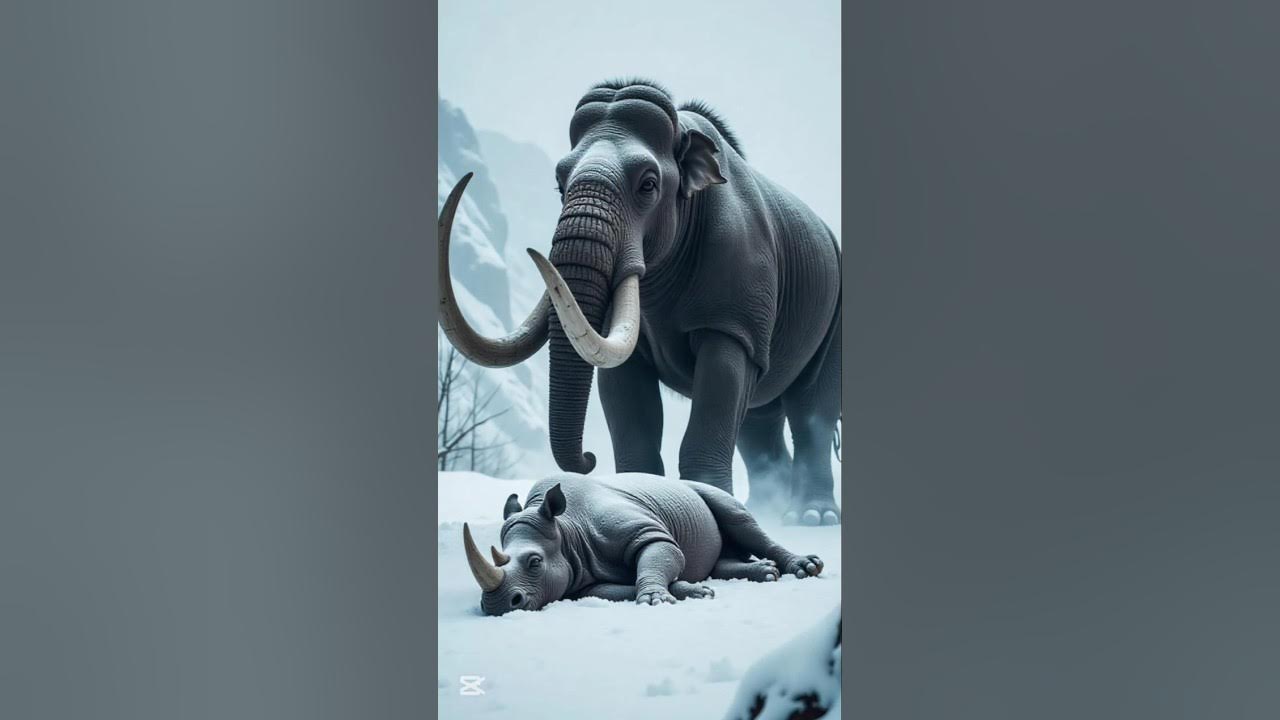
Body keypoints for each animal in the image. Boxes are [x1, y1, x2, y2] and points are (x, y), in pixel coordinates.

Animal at [462, 473, 824, 615]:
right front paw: (694, 591)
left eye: (535, 562)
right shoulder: (580, 584)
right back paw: (766, 573)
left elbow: (657, 553)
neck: (565, 531)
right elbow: (616, 589)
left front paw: (656, 601)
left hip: (700, 491)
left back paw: (806, 567)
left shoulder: (645, 531)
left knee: (736, 515)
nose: (495, 607)